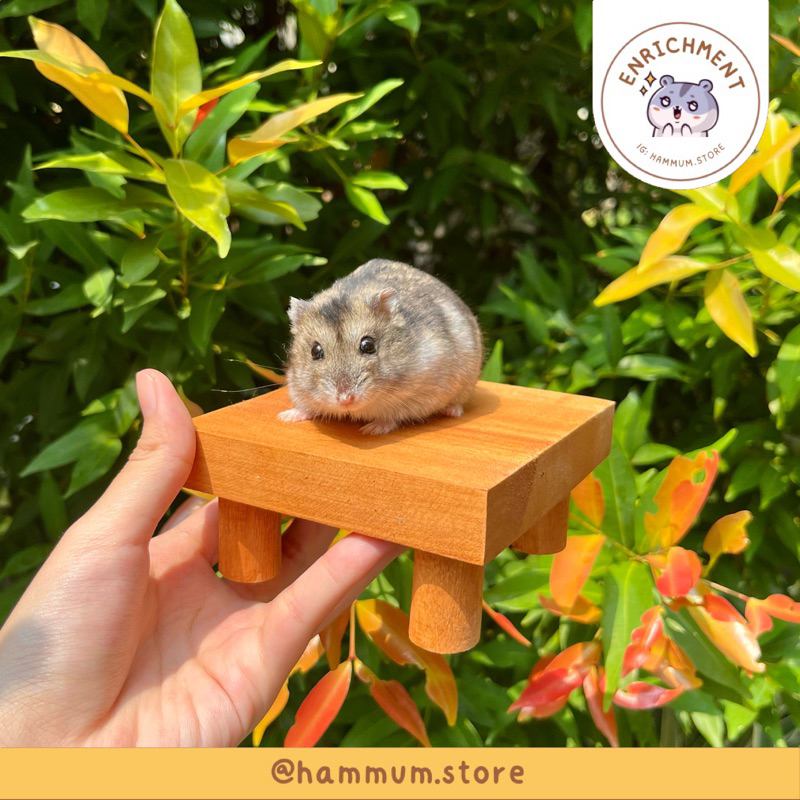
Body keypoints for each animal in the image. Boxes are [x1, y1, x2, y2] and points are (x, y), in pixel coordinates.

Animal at [278, 258, 484, 435]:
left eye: (368, 345)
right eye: (315, 351)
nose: (345, 400)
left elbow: (391, 416)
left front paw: (370, 430)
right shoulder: (296, 386)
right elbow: (305, 407)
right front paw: (285, 417)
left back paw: (452, 411)